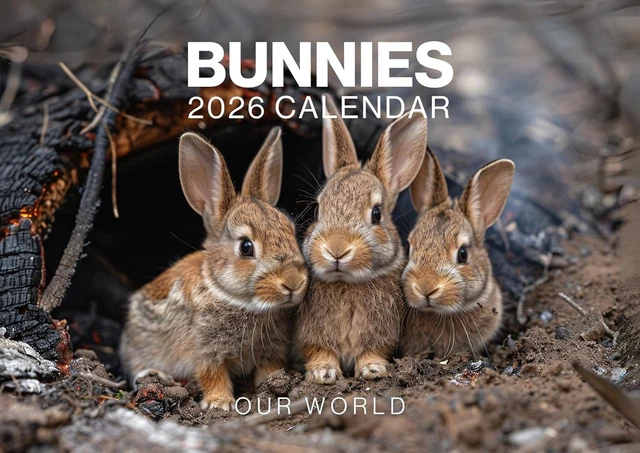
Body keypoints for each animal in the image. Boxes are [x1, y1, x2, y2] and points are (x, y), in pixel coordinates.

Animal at [120, 127, 309, 411]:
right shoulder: (206, 351)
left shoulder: (271, 349)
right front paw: (220, 404)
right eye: (245, 247)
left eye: (292, 232)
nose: (293, 282)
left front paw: (272, 386)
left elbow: (269, 368)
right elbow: (212, 375)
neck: (234, 298)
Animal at [294, 96, 428, 384]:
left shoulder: (382, 334)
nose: (336, 249)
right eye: (317, 210)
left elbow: (373, 351)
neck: (348, 283)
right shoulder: (310, 335)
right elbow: (318, 350)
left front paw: (373, 370)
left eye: (376, 214)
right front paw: (323, 373)